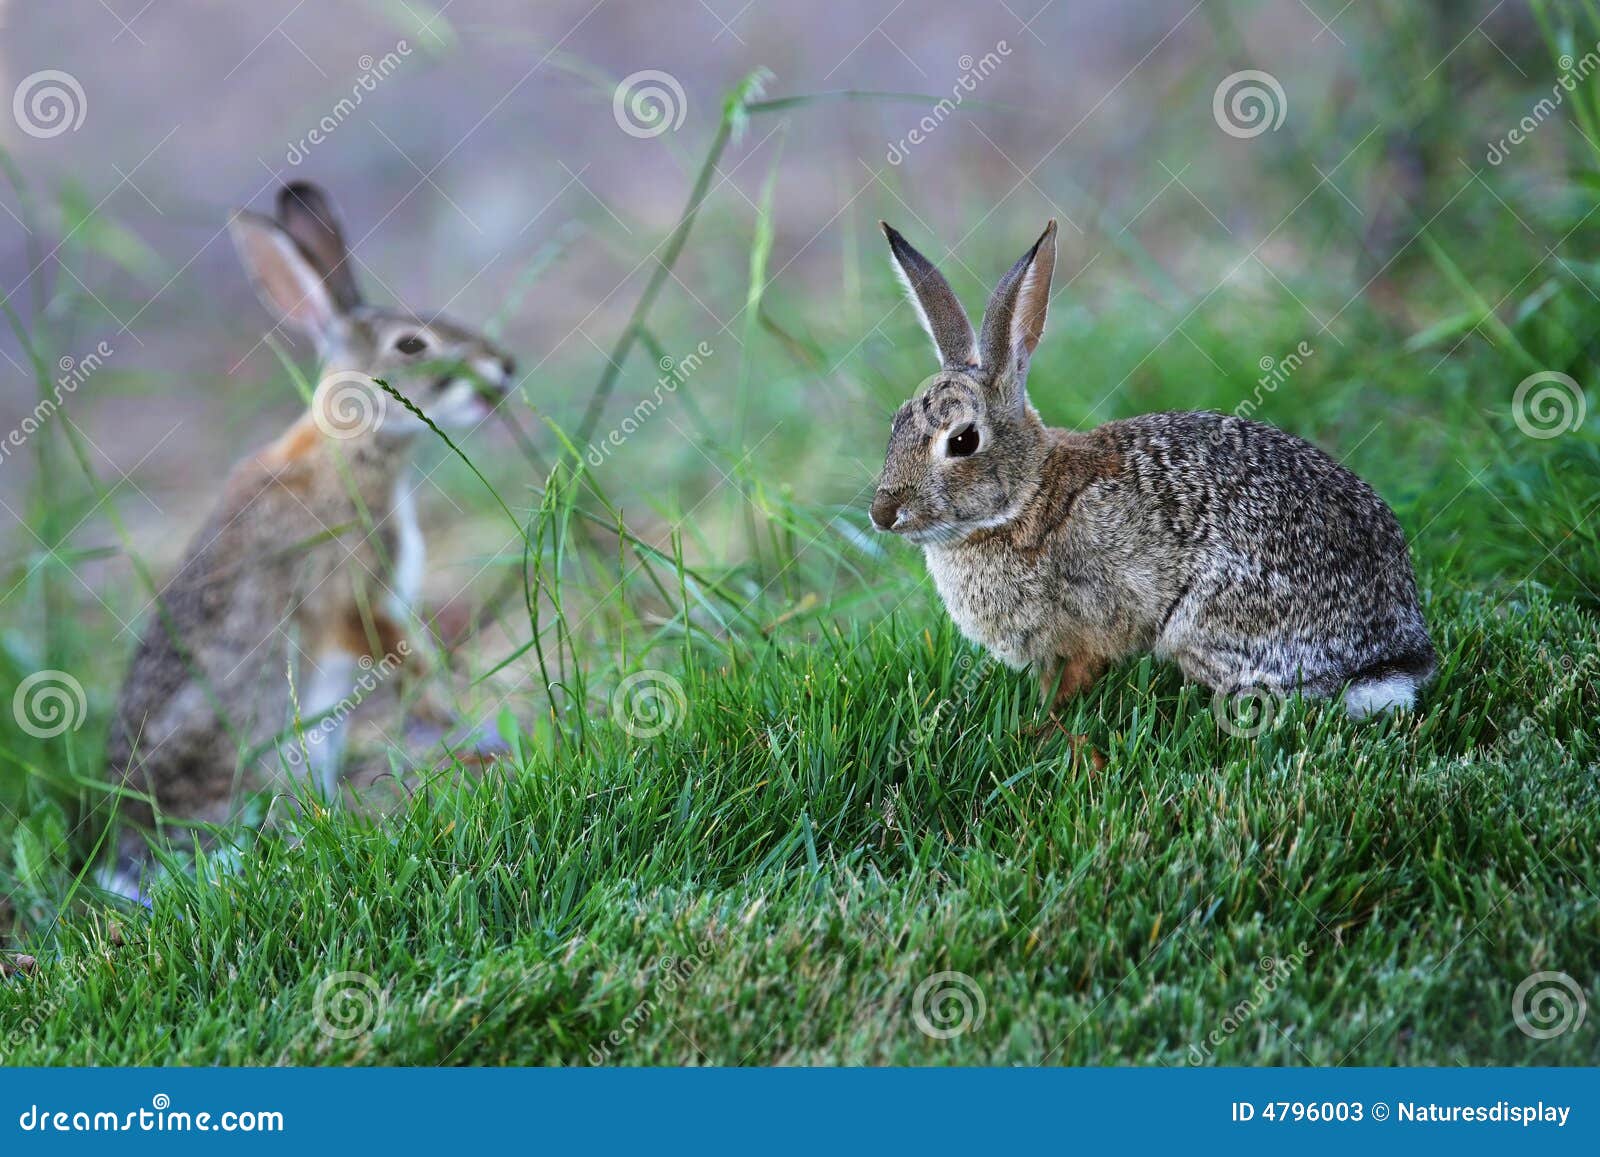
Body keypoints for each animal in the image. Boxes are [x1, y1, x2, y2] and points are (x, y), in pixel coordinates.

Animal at [104, 181, 516, 893]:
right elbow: (397, 651)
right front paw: (457, 720)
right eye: (413, 345)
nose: (505, 366)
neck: (352, 445)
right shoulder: (354, 596)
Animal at [869, 219, 1435, 723]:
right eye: (897, 423)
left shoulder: (1086, 628)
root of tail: (1388, 657)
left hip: (1209, 623)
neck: (1022, 498)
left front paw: (1040, 728)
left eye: (962, 441)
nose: (883, 513)